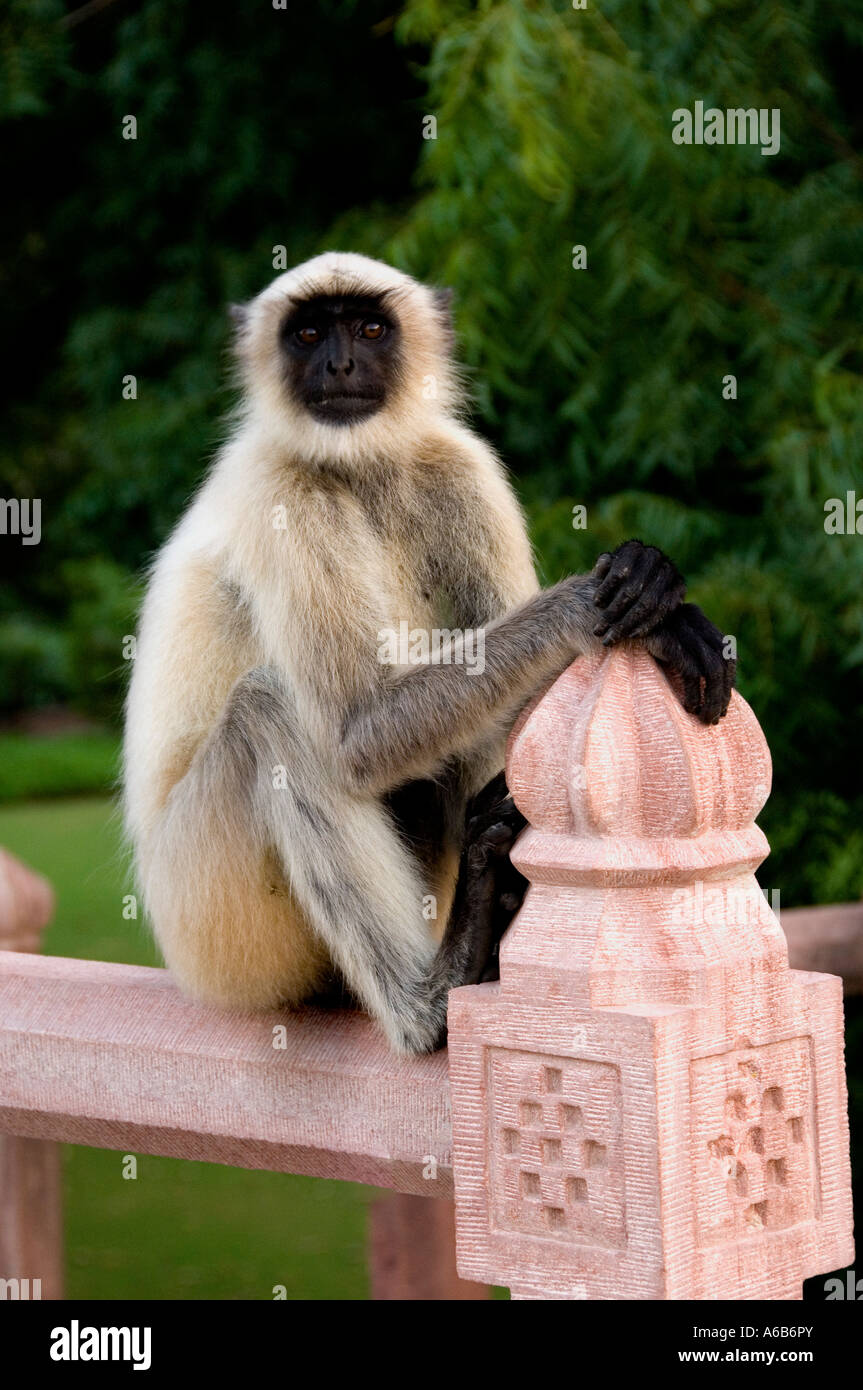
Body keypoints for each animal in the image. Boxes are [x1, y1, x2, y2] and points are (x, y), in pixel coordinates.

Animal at [123, 252, 735, 1055]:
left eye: (370, 328)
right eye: (309, 332)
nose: (339, 363)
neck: (356, 468)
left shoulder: (458, 465)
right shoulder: (279, 492)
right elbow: (354, 734)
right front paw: (599, 605)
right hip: (204, 919)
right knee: (268, 709)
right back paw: (437, 993)